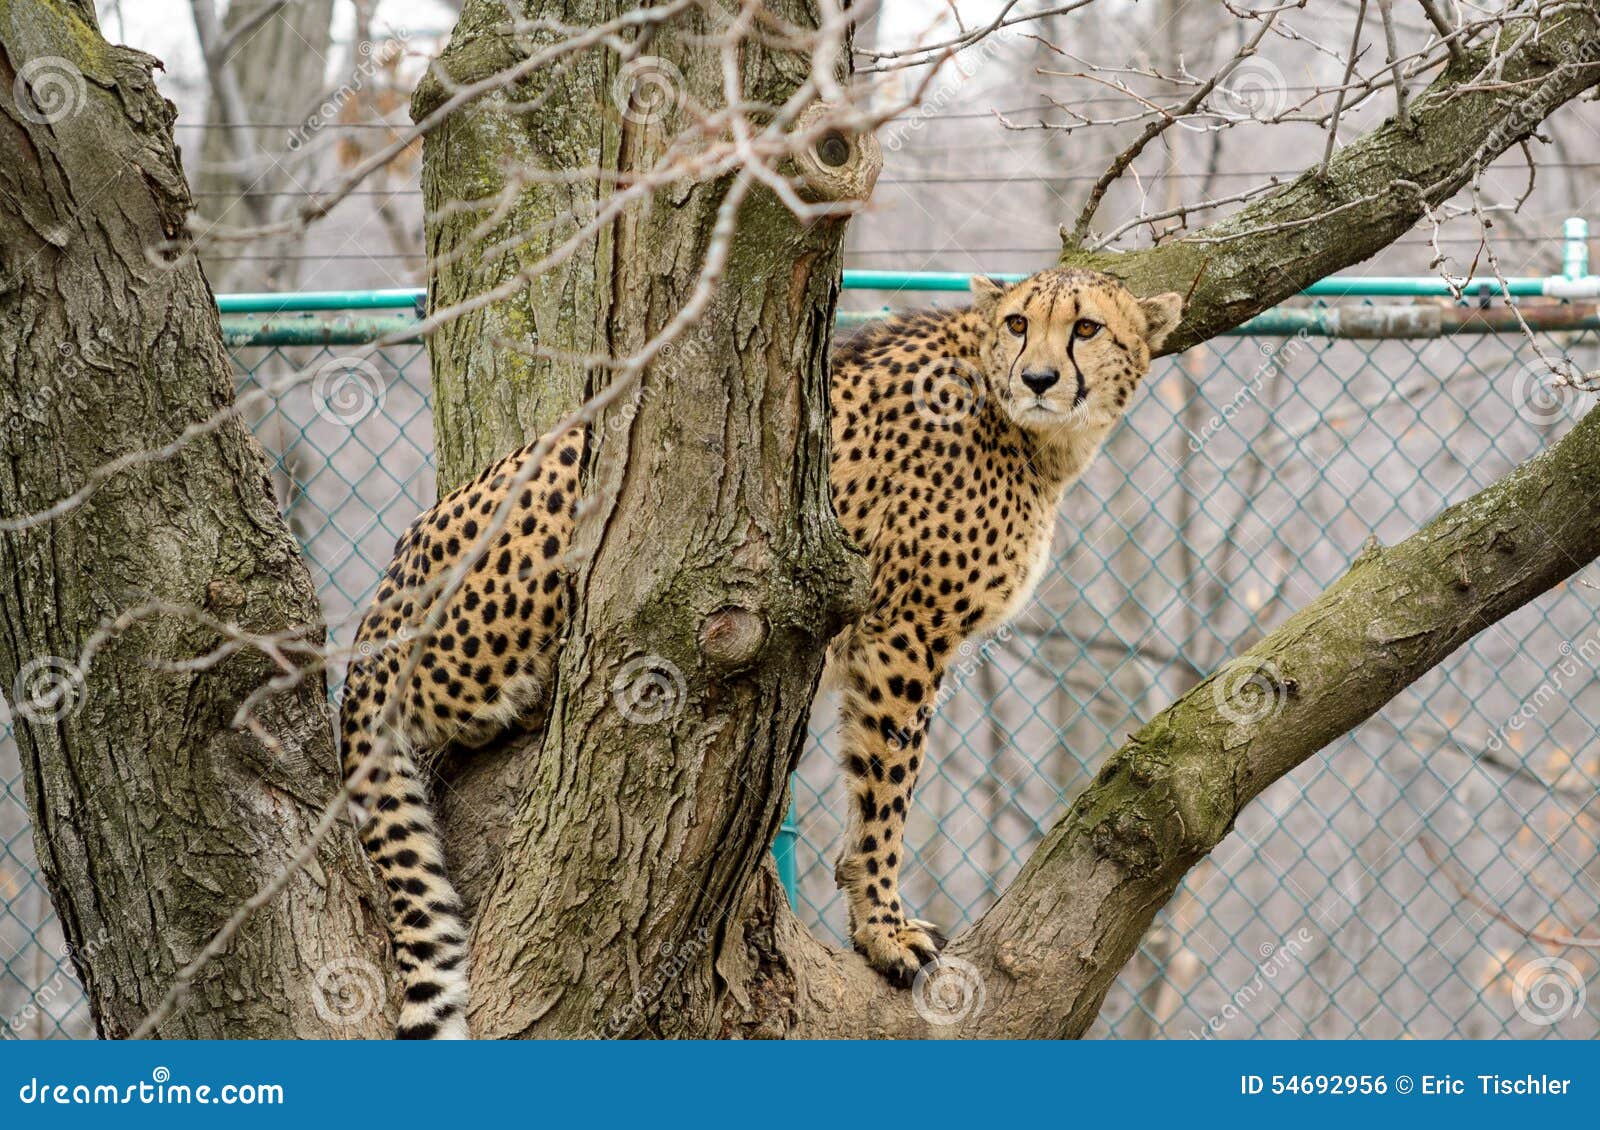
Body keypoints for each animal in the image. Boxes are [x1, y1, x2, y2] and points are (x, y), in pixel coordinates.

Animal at [338, 267, 1183, 1038]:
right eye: (1017, 324)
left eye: (1085, 328)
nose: (1039, 378)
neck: (1035, 436)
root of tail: (389, 581)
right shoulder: (903, 635)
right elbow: (888, 791)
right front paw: (884, 930)